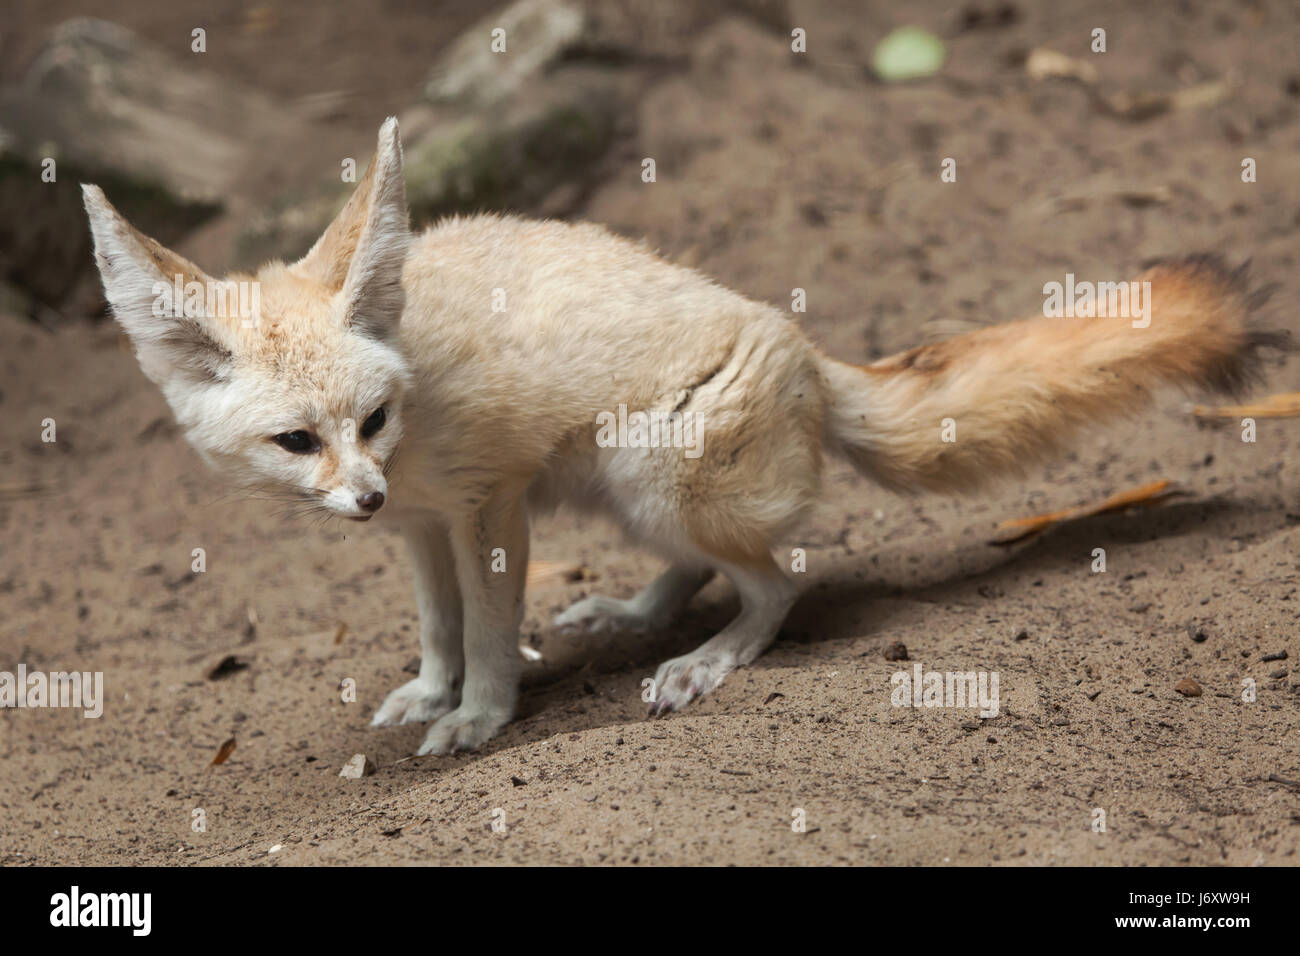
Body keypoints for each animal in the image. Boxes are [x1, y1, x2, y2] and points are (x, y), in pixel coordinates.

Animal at [82, 118, 1286, 755]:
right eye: (298, 442)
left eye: (370, 420)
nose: (364, 495)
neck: (413, 407)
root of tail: (805, 346)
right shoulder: (423, 523)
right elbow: (437, 623)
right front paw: (432, 691)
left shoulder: (486, 507)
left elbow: (487, 631)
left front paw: (480, 717)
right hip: (623, 491)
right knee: (704, 569)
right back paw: (634, 613)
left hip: (651, 472)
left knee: (780, 583)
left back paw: (705, 659)